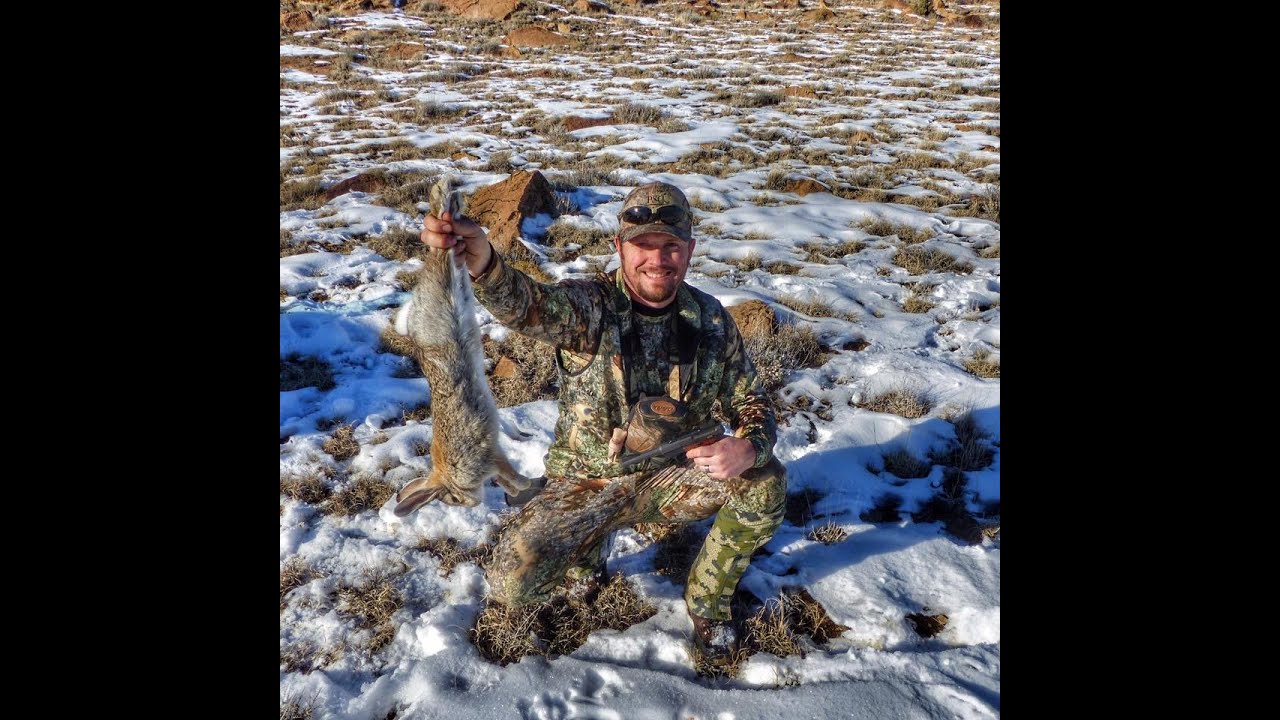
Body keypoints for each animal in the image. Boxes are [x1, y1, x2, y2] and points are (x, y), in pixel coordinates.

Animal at [393, 176, 530, 516]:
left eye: (450, 500)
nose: (467, 504)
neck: (449, 473)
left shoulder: (486, 454)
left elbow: (507, 471)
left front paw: (522, 484)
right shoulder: (489, 460)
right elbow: (502, 477)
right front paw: (517, 489)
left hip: (443, 287)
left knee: (442, 254)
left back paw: (445, 197)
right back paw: (450, 202)